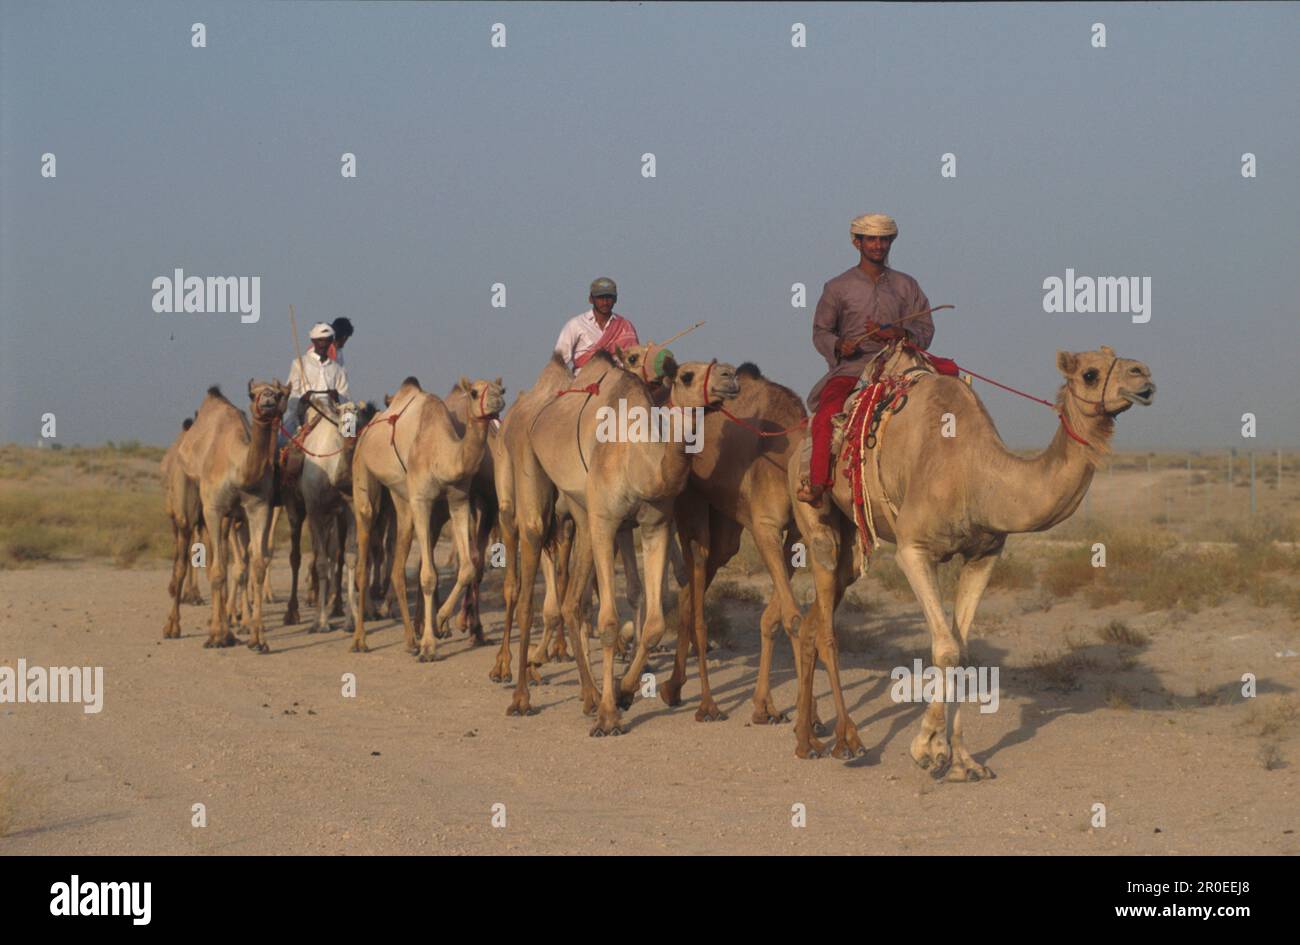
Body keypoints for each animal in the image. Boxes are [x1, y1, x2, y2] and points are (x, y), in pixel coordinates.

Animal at [167, 380, 290, 650]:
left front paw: (257, 639)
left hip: (229, 521)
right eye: (252, 393)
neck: (238, 469)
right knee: (183, 560)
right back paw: (172, 627)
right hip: (186, 501)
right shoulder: (213, 509)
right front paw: (217, 636)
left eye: (278, 393)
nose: (268, 399)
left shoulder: (258, 508)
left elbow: (256, 565)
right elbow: (217, 571)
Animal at [351, 376, 505, 657]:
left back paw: (411, 639)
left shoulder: (457, 500)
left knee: (399, 567)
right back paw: (360, 640)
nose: (497, 399)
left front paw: (441, 622)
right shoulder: (422, 500)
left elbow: (467, 567)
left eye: (503, 388)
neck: (440, 451)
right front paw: (430, 645)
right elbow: (428, 576)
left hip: (401, 499)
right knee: (364, 546)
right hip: (365, 475)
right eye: (474, 392)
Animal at [503, 350, 739, 734]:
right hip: (530, 472)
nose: (730, 376)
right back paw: (522, 696)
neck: (637, 456)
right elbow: (610, 623)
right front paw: (608, 716)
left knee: (571, 603)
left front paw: (624, 692)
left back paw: (588, 696)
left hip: (582, 516)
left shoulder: (655, 525)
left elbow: (655, 624)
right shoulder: (607, 522)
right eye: (687, 375)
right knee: (531, 574)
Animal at [788, 343, 1155, 773]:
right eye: (1090, 374)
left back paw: (806, 737)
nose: (1143, 375)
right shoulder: (914, 549)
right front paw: (928, 748)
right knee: (826, 622)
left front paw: (964, 761)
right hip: (814, 515)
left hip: (851, 539)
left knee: (810, 623)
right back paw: (846, 741)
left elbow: (963, 652)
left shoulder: (984, 554)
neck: (975, 475)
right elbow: (945, 647)